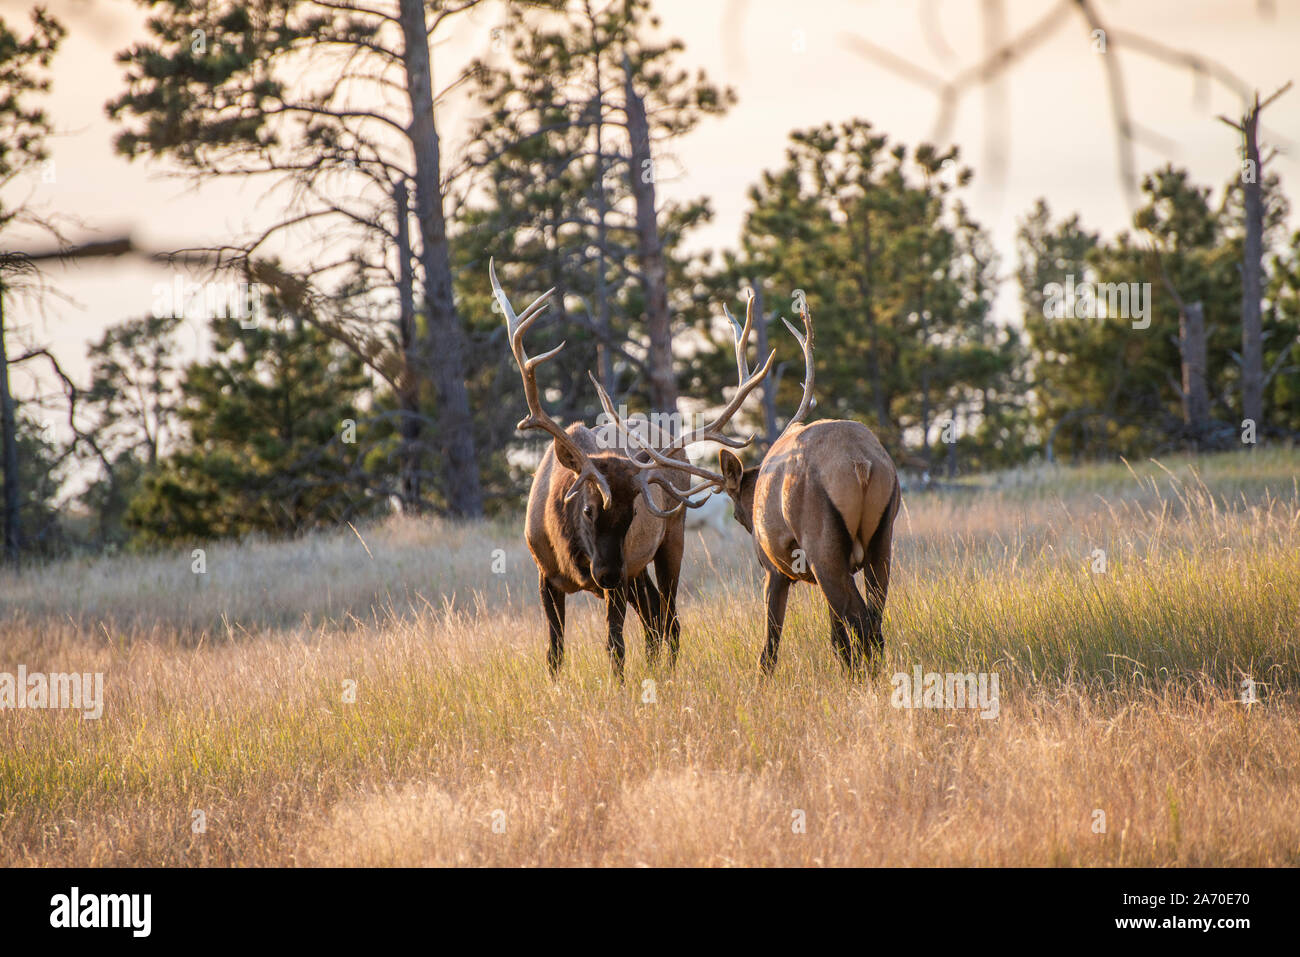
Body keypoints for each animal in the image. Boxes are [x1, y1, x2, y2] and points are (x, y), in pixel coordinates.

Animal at [491, 260, 773, 678]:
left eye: (631, 516)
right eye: (588, 510)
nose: (605, 574)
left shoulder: (622, 575)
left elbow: (615, 645)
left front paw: (619, 685)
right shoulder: (545, 574)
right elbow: (554, 652)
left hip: (666, 543)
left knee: (668, 617)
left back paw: (667, 671)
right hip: (636, 570)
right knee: (655, 618)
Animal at [602, 295, 900, 678]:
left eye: (734, 505)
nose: (743, 519)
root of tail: (861, 464)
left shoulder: (773, 568)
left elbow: (770, 648)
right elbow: (836, 636)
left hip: (823, 546)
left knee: (864, 625)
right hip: (882, 539)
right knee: (874, 620)